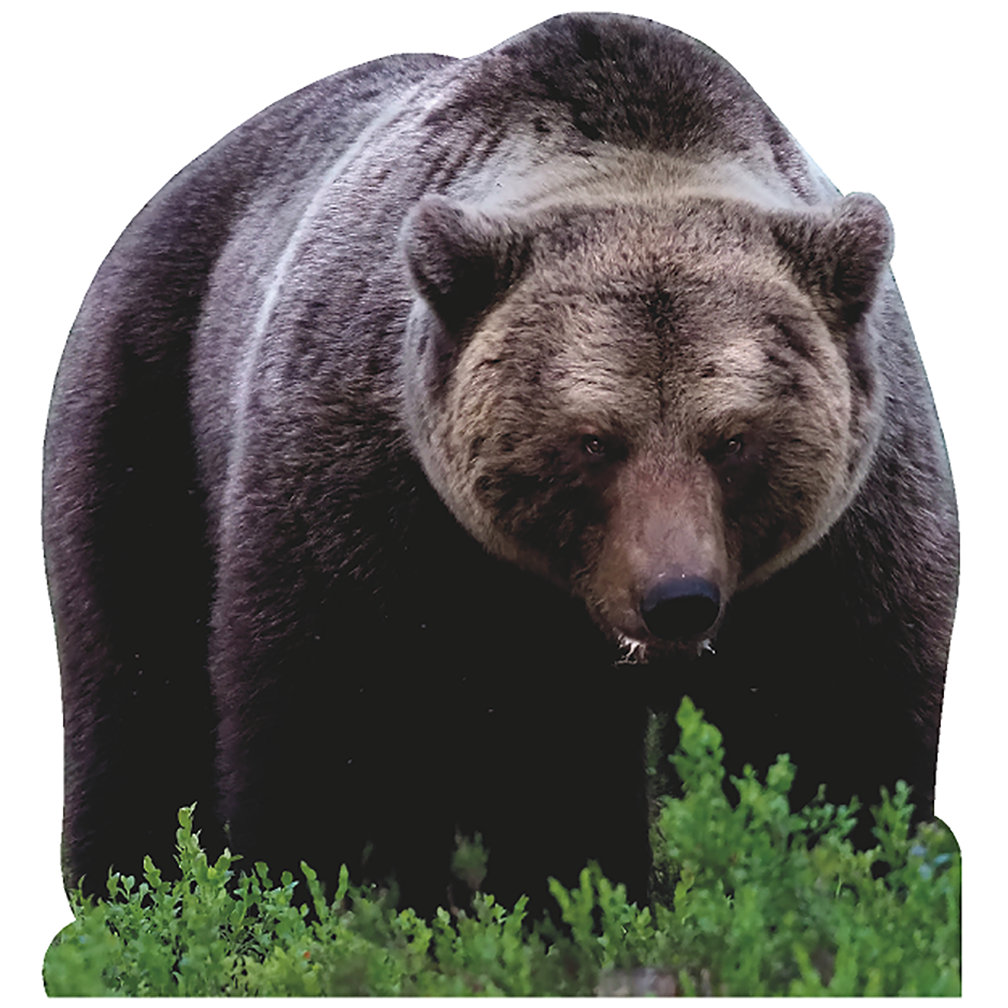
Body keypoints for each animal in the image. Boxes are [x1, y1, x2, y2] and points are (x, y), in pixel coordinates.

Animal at [43, 12, 958, 917]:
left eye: (733, 439)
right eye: (594, 440)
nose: (678, 600)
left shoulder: (844, 546)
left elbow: (834, 736)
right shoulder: (373, 502)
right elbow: (341, 737)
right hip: (148, 394)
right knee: (134, 670)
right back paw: (126, 884)